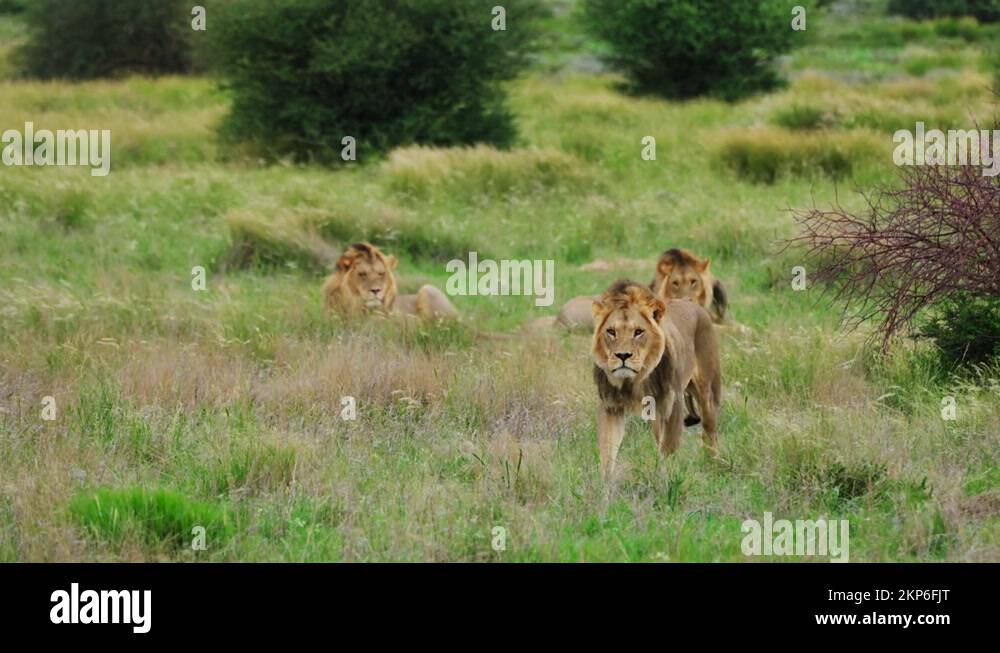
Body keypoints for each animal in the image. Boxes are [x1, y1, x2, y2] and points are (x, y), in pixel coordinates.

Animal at [591, 281, 722, 481]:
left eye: (638, 332)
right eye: (611, 332)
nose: (622, 355)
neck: (635, 379)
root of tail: (690, 302)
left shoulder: (673, 404)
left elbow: (668, 448)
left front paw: (664, 478)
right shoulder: (610, 406)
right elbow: (607, 449)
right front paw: (604, 485)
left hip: (706, 393)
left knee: (710, 432)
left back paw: (714, 465)